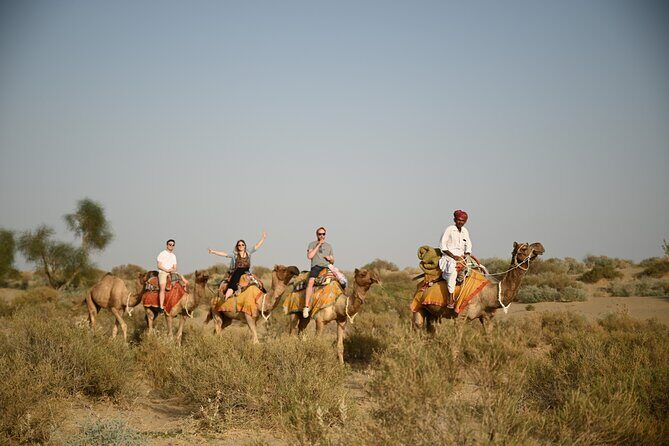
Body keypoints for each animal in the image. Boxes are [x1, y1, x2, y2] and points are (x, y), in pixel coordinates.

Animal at [412, 242, 545, 338]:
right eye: (524, 248)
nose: (540, 246)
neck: (489, 294)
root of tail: (420, 283)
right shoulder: (460, 316)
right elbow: (456, 344)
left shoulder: (487, 317)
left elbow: (489, 339)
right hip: (418, 305)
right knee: (417, 328)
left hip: (433, 313)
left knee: (431, 330)